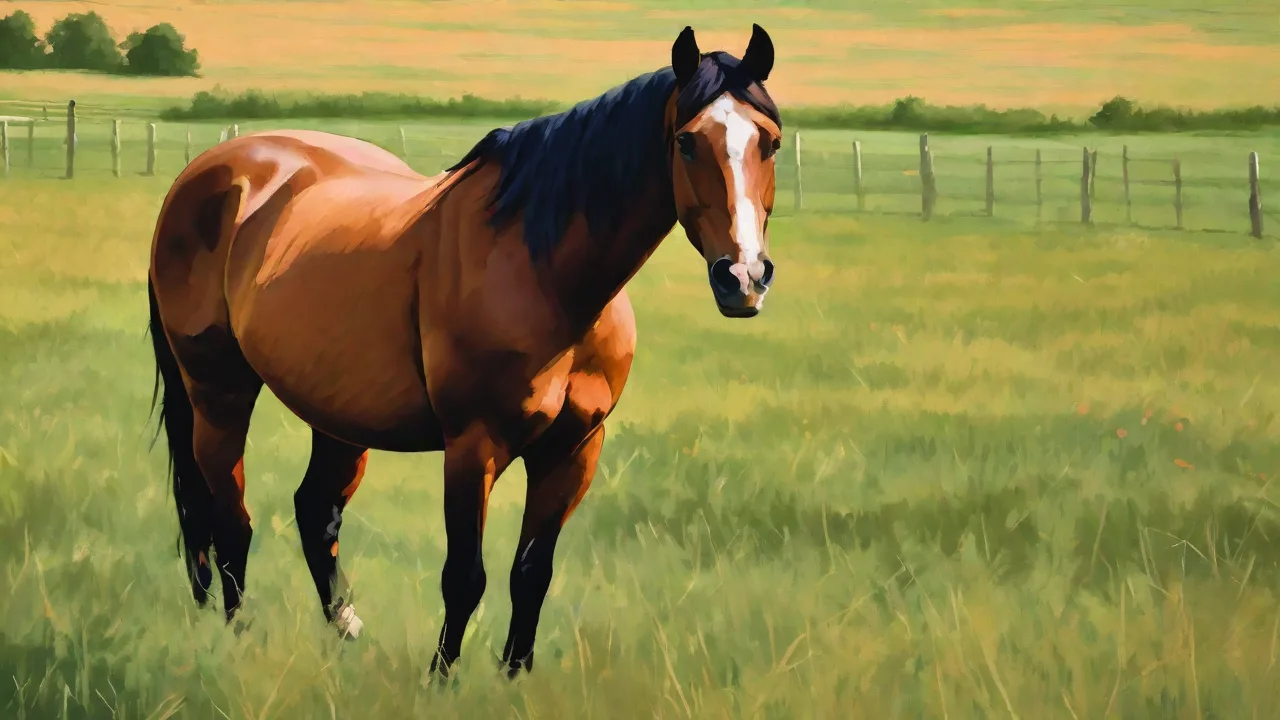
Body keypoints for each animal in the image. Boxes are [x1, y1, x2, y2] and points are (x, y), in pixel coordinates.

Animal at [146, 23, 782, 679]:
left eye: (772, 143)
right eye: (686, 142)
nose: (743, 277)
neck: (542, 271)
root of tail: (209, 173)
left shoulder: (574, 449)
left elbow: (532, 572)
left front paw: (515, 674)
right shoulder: (474, 447)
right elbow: (465, 577)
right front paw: (441, 679)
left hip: (340, 414)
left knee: (314, 510)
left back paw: (344, 627)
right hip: (218, 393)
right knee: (230, 518)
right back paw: (238, 635)